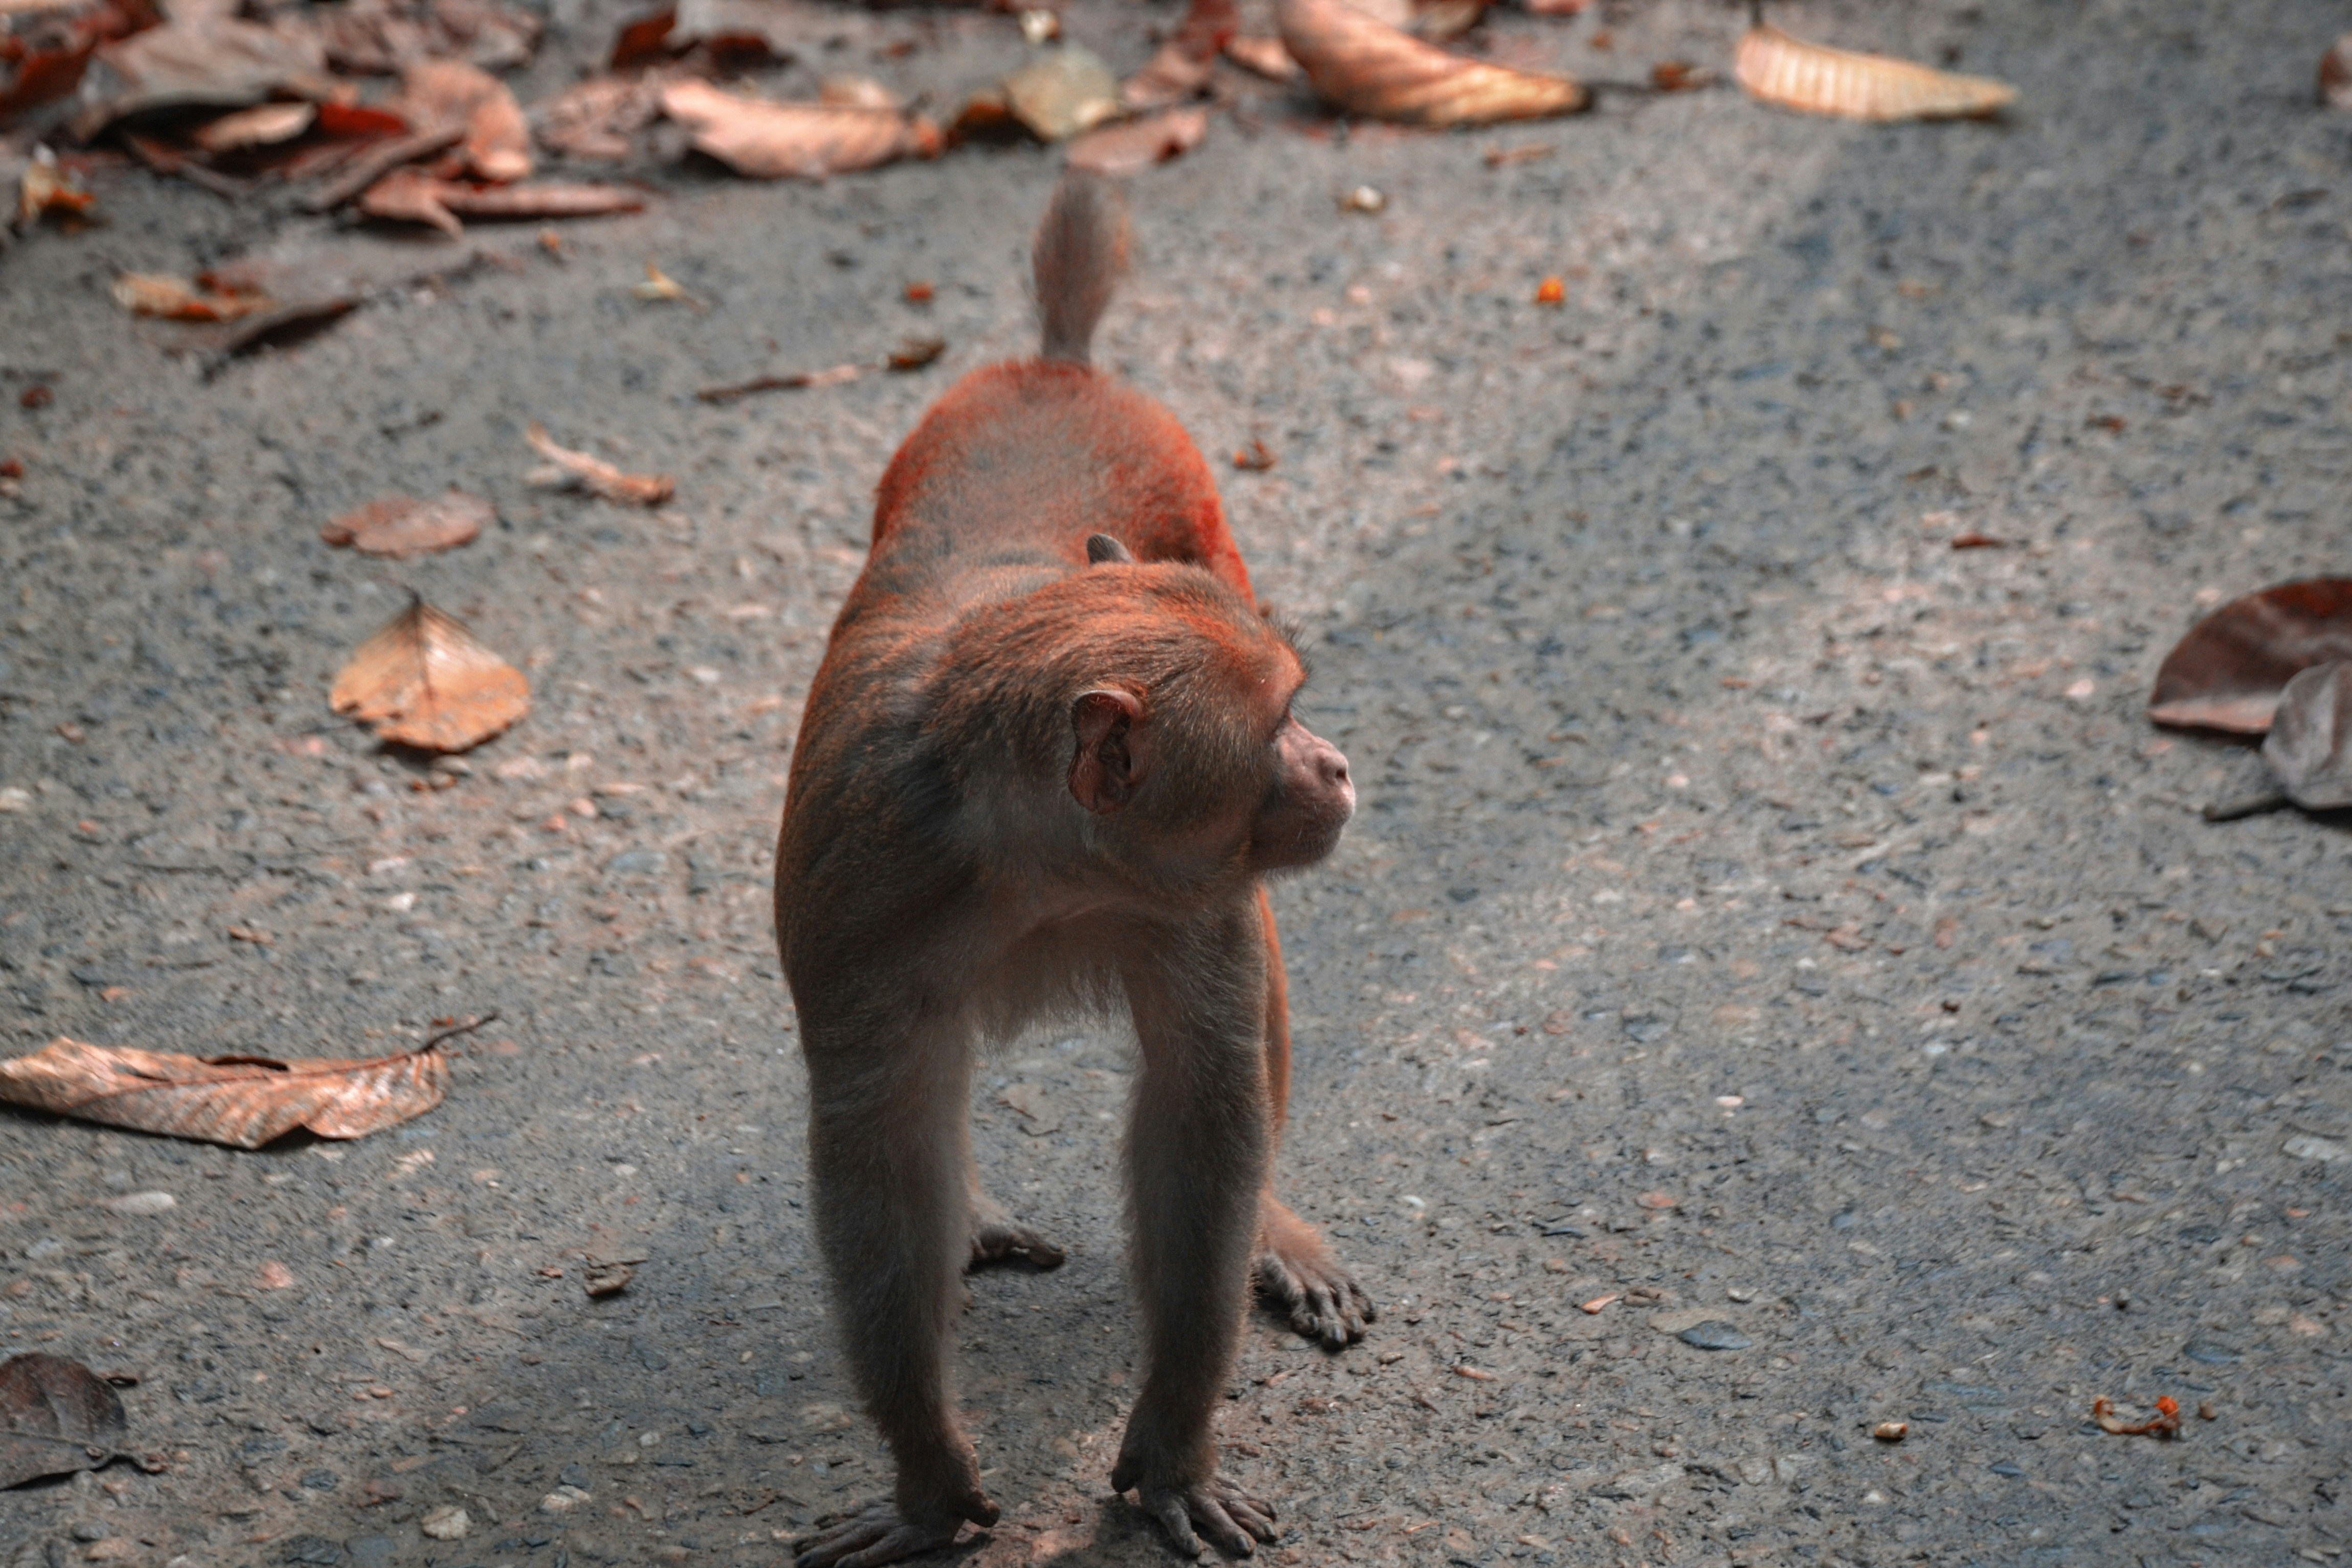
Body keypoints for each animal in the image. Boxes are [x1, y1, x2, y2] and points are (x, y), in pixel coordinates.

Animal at [775, 172, 1367, 1567]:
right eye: (1278, 727)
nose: (1335, 765)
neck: (1039, 870)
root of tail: (1055, 365)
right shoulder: (853, 899)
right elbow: (876, 1146)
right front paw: (926, 1482)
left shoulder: (1193, 894)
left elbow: (1201, 1120)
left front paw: (1171, 1451)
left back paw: (1273, 1230)